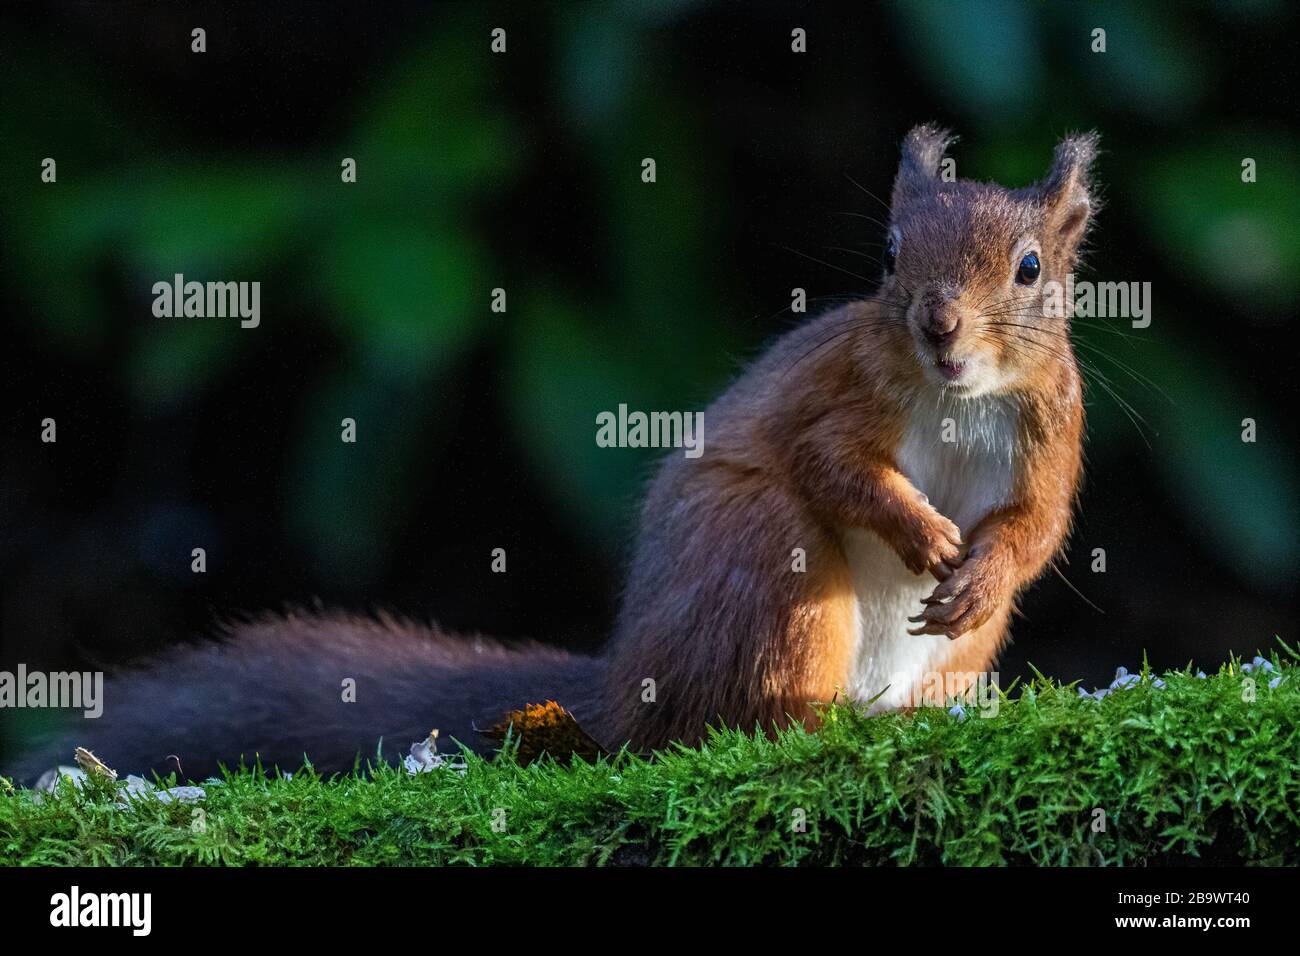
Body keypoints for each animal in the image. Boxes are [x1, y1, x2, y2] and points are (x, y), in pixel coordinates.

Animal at [6, 126, 1093, 784]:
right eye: (889, 256)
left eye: (1029, 268)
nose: (939, 327)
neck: (957, 396)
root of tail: (617, 685)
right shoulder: (838, 391)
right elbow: (829, 463)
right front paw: (922, 533)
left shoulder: (1053, 433)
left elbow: (1036, 527)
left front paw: (979, 570)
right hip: (757, 558)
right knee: (725, 714)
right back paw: (810, 731)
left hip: (944, 660)